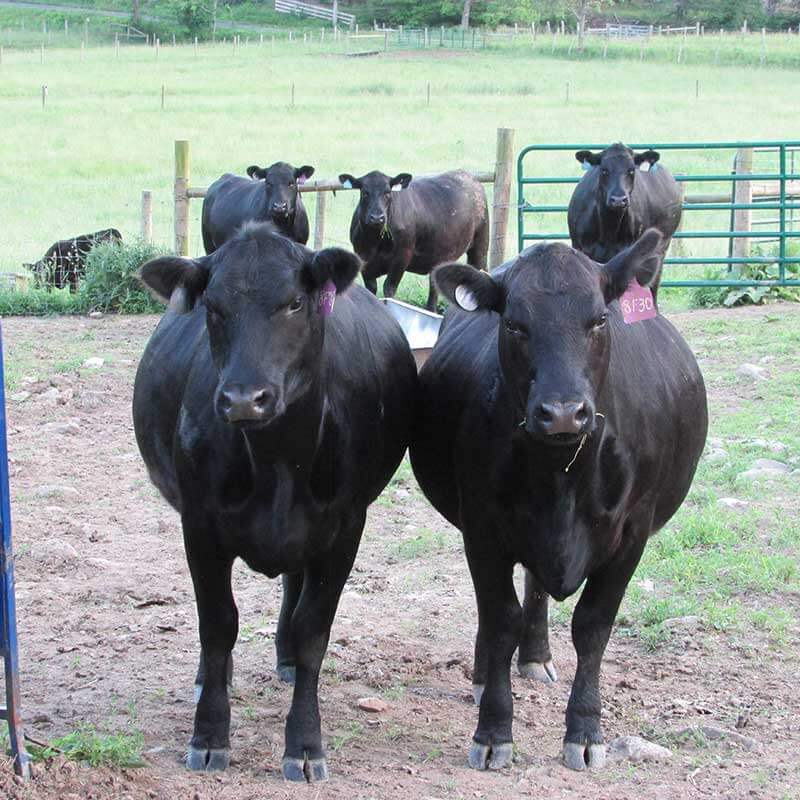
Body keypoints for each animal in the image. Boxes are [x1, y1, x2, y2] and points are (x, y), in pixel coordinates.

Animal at [132, 223, 417, 780]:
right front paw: (209, 735)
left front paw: (305, 744)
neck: (277, 462)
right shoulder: (200, 527)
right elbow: (218, 624)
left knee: (294, 585)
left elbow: (312, 632)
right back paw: (211, 677)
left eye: (293, 303)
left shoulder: (344, 529)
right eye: (213, 306)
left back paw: (283, 661)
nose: (244, 398)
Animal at [337, 169, 489, 311]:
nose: (377, 217)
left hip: (480, 246)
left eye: (388, 193)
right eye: (365, 193)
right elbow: (371, 288)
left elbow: (389, 288)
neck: (374, 242)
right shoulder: (363, 258)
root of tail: (467, 175)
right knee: (434, 286)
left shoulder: (402, 256)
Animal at [410, 229, 707, 773]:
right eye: (514, 324)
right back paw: (487, 672)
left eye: (600, 319)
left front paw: (585, 731)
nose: (563, 412)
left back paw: (534, 655)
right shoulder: (482, 528)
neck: (560, 478)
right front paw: (493, 730)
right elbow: (500, 619)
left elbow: (593, 627)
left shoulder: (632, 533)